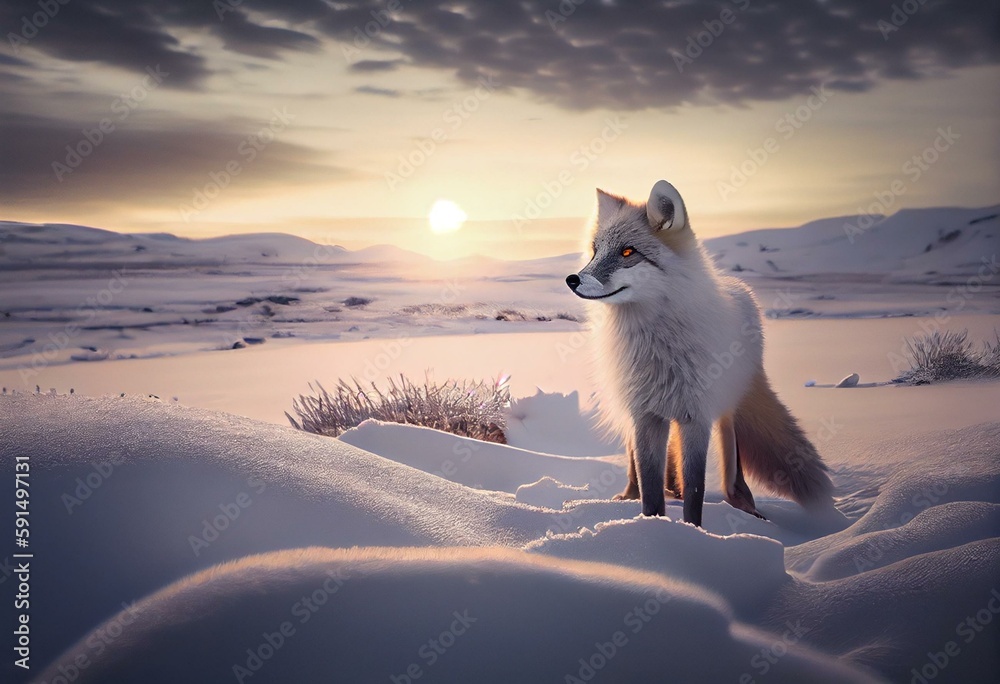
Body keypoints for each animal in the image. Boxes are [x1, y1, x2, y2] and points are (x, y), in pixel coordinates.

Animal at [565, 180, 833, 527]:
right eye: (596, 251)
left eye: (627, 252)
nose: (572, 280)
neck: (658, 350)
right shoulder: (645, 415)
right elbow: (650, 486)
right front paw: (653, 524)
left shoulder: (697, 416)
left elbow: (696, 487)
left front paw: (692, 530)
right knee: (642, 468)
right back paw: (633, 494)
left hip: (727, 408)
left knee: (732, 458)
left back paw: (742, 503)